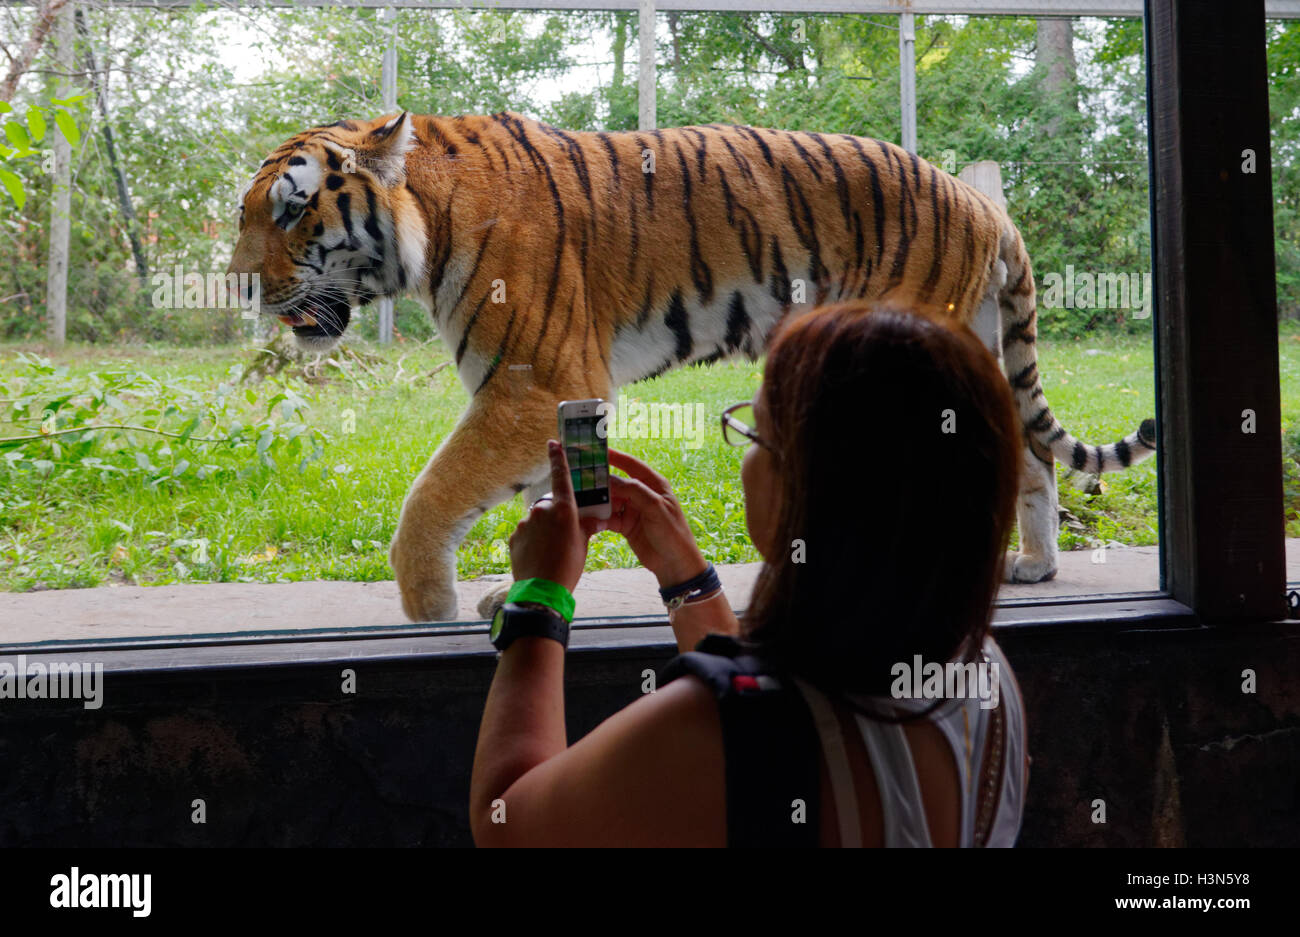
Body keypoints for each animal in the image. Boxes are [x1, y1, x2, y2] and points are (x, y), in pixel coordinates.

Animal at [229, 110, 1157, 622]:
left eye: (292, 211)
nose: (237, 283)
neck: (427, 221)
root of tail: (983, 203)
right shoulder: (538, 395)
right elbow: (540, 491)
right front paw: (525, 583)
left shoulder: (535, 380)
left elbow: (431, 497)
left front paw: (429, 606)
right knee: (1032, 456)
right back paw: (1034, 565)